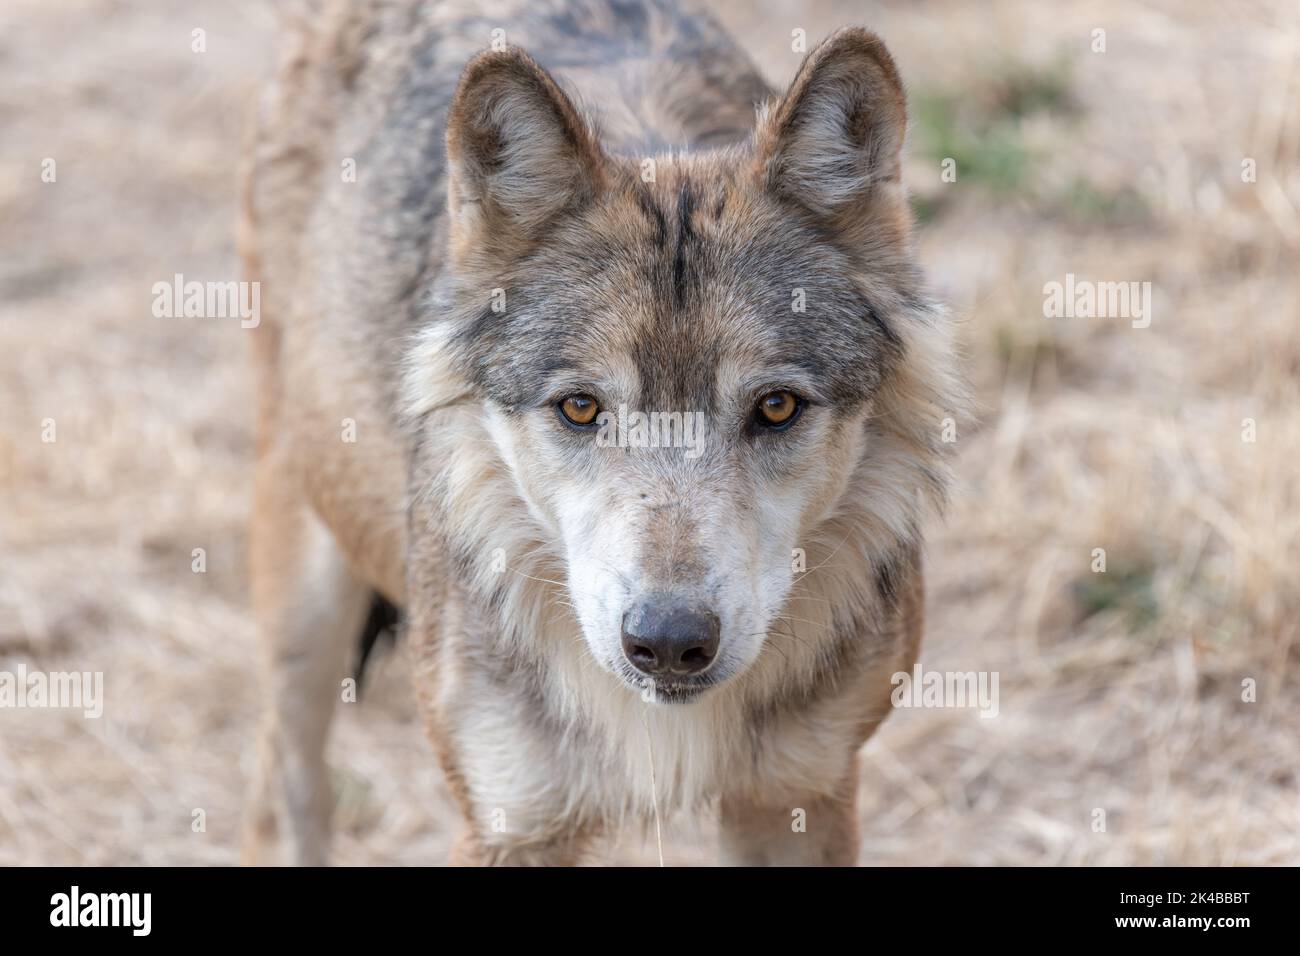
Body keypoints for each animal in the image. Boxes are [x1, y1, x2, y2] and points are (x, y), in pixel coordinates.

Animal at [239, 0, 964, 866]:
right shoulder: (512, 822)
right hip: (302, 603)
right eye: (581, 408)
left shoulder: (797, 799)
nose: (670, 641)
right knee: (284, 788)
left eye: (777, 408)